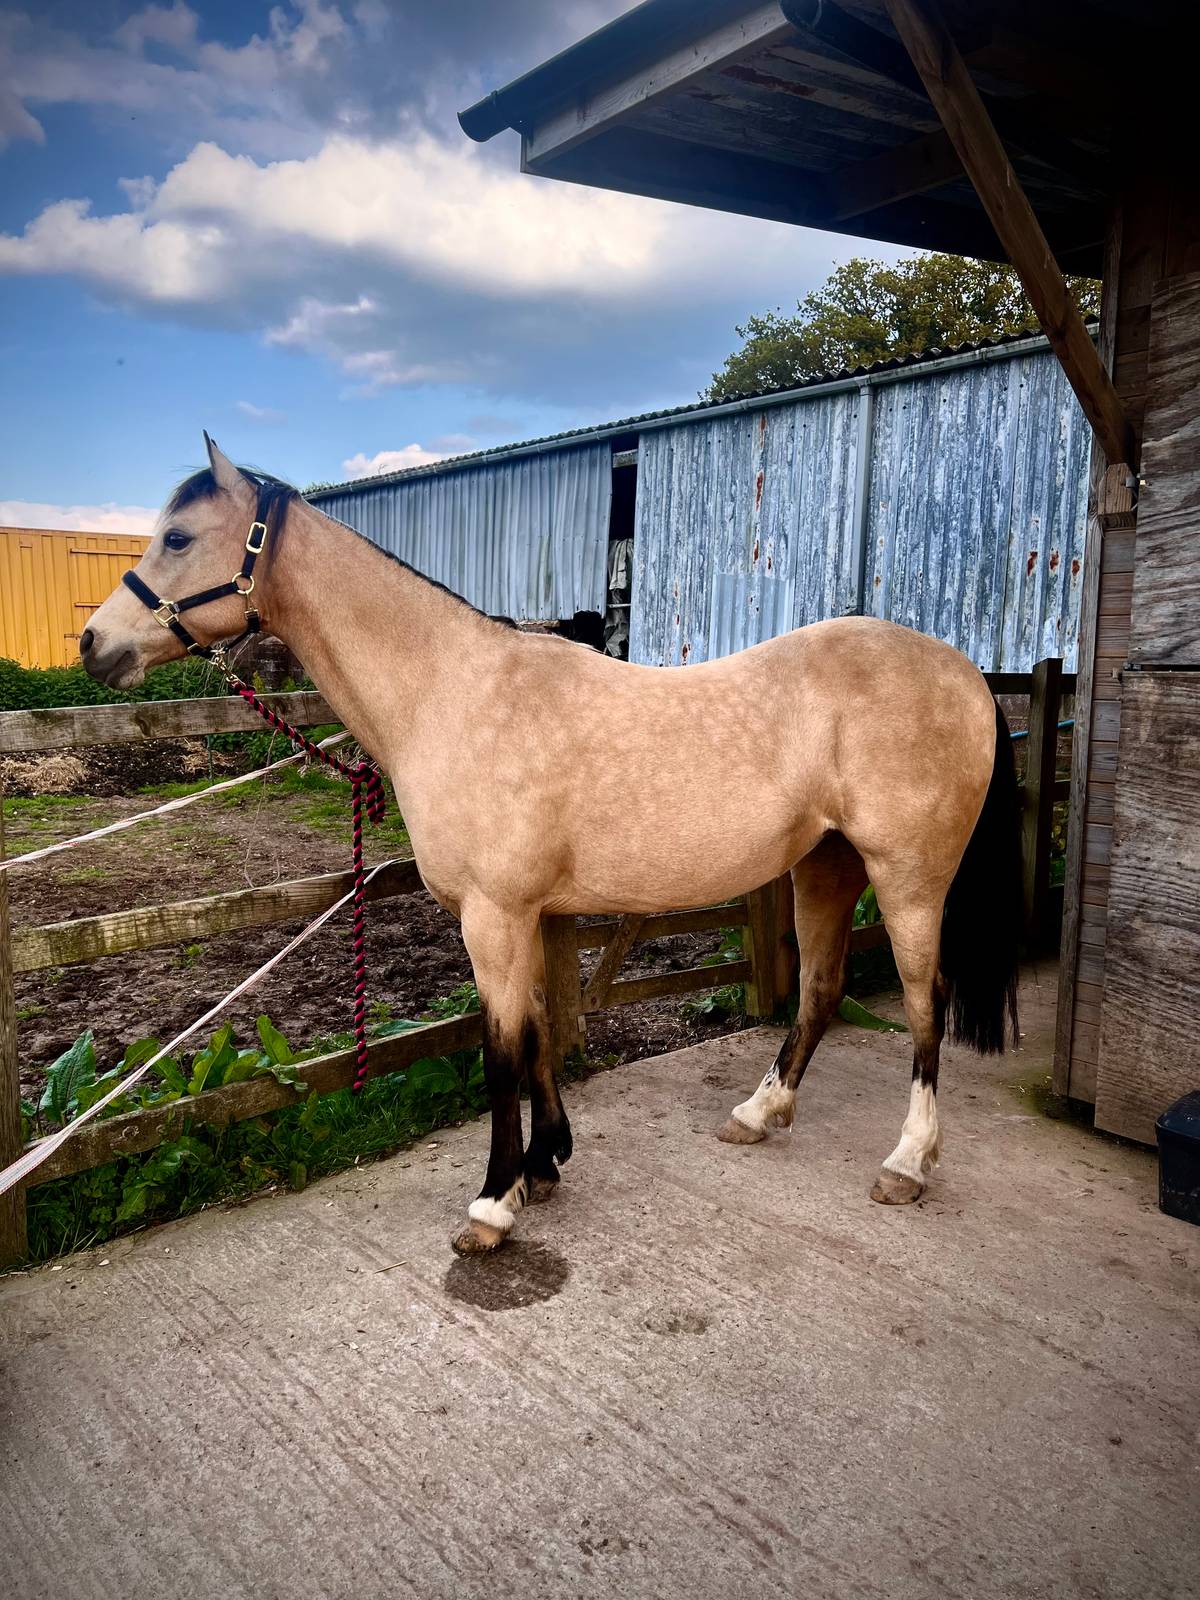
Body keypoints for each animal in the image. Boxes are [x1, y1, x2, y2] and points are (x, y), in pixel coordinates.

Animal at [81, 435, 1021, 1255]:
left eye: (177, 536)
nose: (93, 644)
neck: (452, 690)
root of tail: (967, 674)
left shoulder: (492, 916)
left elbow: (500, 1052)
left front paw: (494, 1204)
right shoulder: (521, 915)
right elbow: (535, 1032)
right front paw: (545, 1165)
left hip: (907, 878)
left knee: (925, 999)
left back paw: (907, 1163)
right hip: (825, 866)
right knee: (822, 990)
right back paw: (759, 1115)